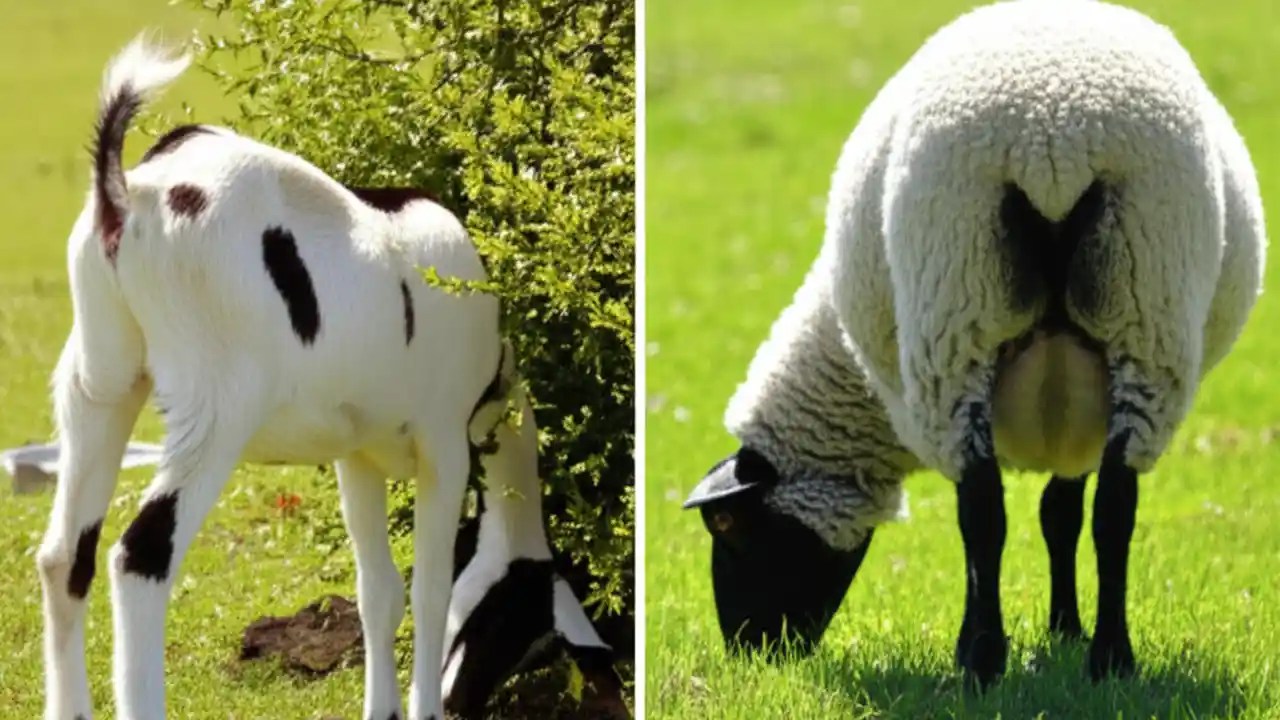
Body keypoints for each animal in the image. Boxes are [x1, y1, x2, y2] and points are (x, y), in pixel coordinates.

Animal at [35, 37, 614, 720]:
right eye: (515, 623)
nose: (461, 698)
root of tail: (129, 195)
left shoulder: (356, 456)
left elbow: (381, 593)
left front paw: (384, 710)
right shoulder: (445, 444)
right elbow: (431, 591)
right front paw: (421, 708)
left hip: (98, 387)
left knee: (64, 557)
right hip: (216, 408)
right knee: (141, 555)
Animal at [685, 0, 1265, 690]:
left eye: (727, 524)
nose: (750, 651)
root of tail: (1055, 136)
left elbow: (1035, 516)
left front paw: (1048, 630)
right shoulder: (1079, 415)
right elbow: (1063, 514)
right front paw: (1066, 630)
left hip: (957, 311)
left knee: (982, 509)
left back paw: (982, 658)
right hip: (1146, 311)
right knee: (1114, 508)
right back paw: (1109, 658)